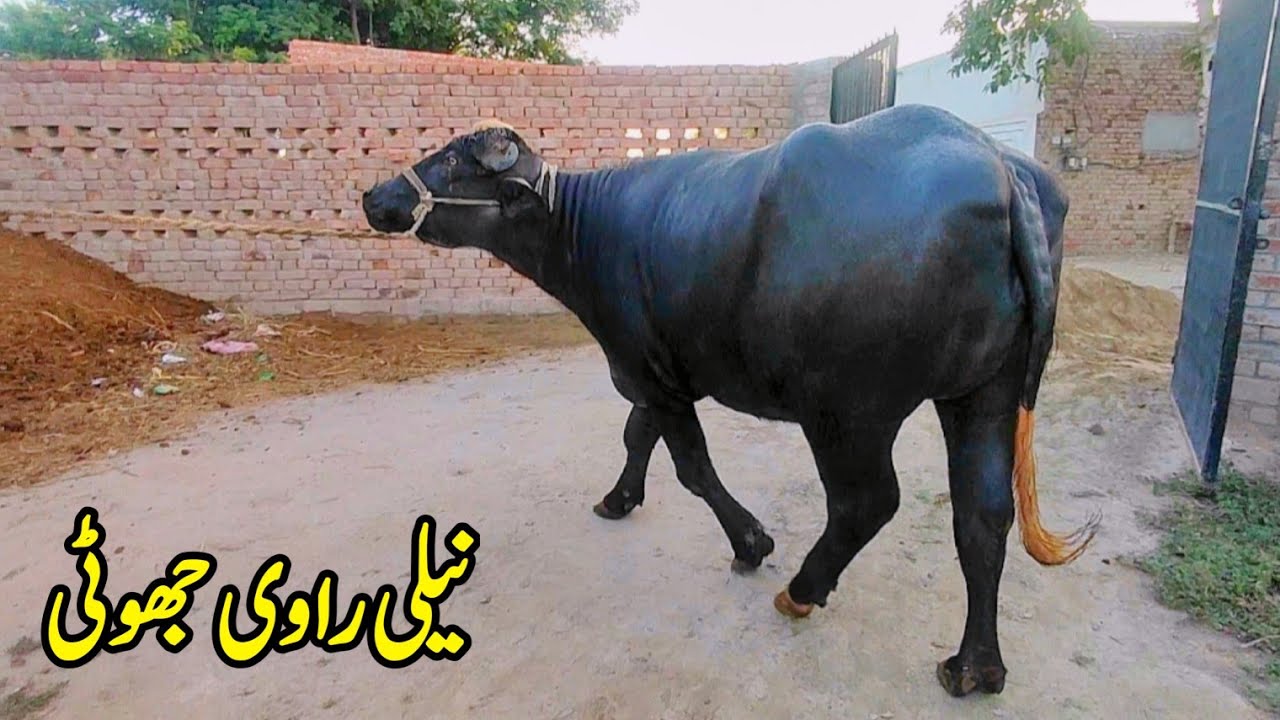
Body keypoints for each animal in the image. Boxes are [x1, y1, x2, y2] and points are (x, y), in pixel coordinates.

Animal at [360, 103, 1099, 697]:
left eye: (451, 161)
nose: (375, 195)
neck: (584, 228)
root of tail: (1000, 168)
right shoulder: (656, 372)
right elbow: (637, 437)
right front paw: (618, 499)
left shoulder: (644, 368)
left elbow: (691, 466)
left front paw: (751, 542)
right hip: (984, 392)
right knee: (983, 515)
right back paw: (975, 666)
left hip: (848, 413)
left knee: (867, 503)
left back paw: (801, 591)